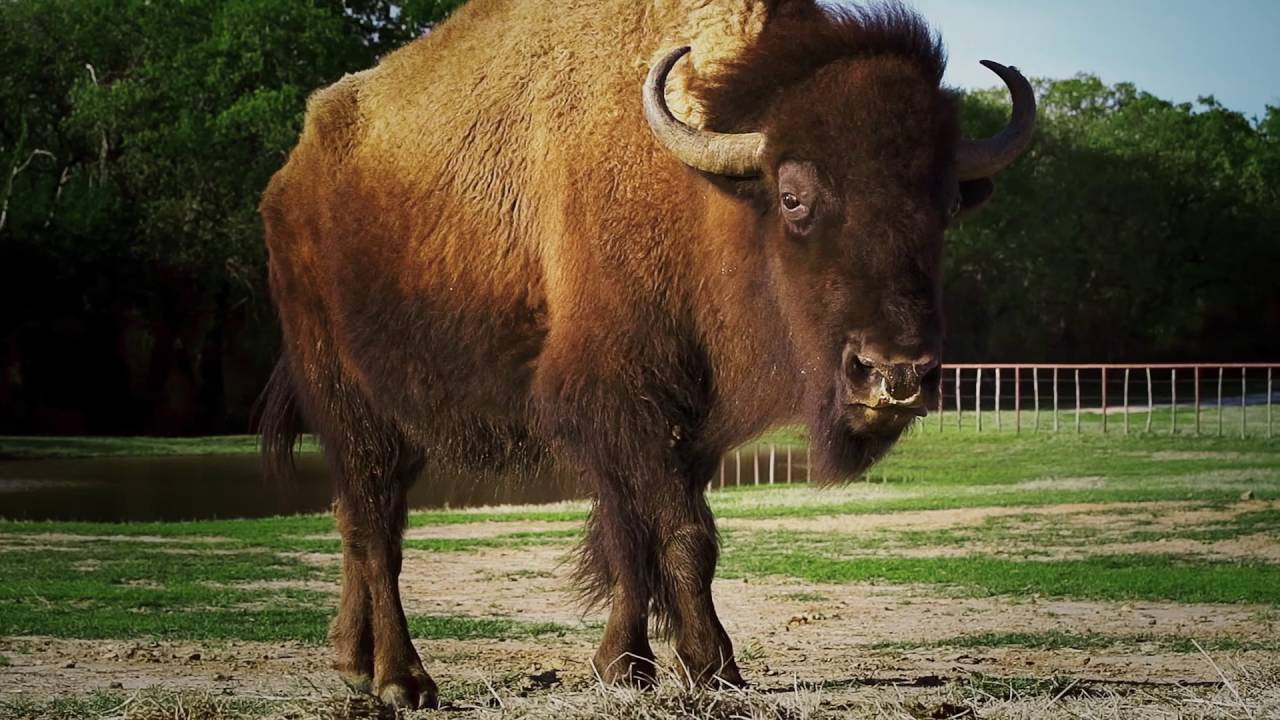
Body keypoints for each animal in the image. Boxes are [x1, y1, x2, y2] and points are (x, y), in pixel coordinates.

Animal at [259, 0, 1034, 709]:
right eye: (793, 196)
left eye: (946, 205)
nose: (895, 374)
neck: (704, 196)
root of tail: (289, 177)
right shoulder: (627, 407)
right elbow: (682, 536)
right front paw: (715, 669)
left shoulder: (679, 426)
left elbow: (634, 540)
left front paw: (626, 667)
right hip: (347, 397)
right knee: (375, 527)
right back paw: (403, 680)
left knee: (357, 516)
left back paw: (351, 661)